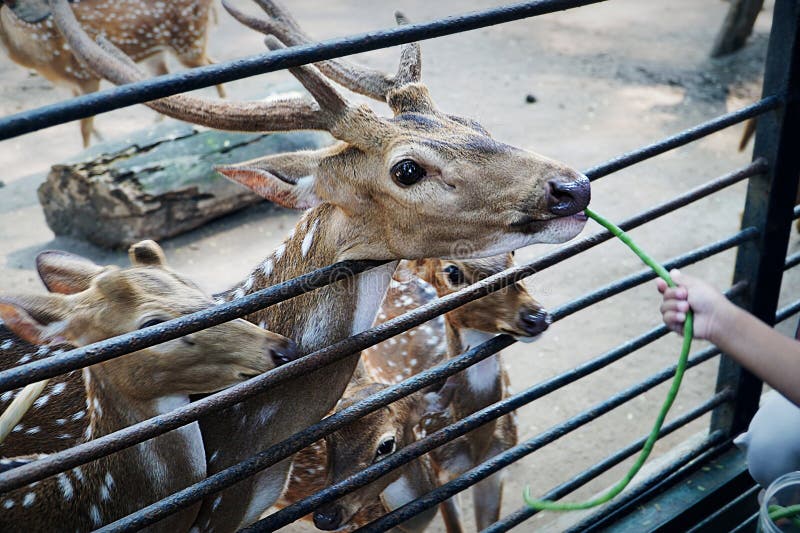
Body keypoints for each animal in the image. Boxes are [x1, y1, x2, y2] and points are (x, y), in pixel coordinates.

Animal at [0, 0, 224, 147]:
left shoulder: (85, 77)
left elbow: (85, 127)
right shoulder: (72, 87)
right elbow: (84, 123)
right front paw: (101, 142)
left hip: (188, 41)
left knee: (210, 63)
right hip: (158, 55)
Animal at [277, 255, 545, 532]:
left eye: (512, 254)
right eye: (453, 272)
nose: (536, 317)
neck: (476, 440)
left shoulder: (497, 461)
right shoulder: (439, 469)